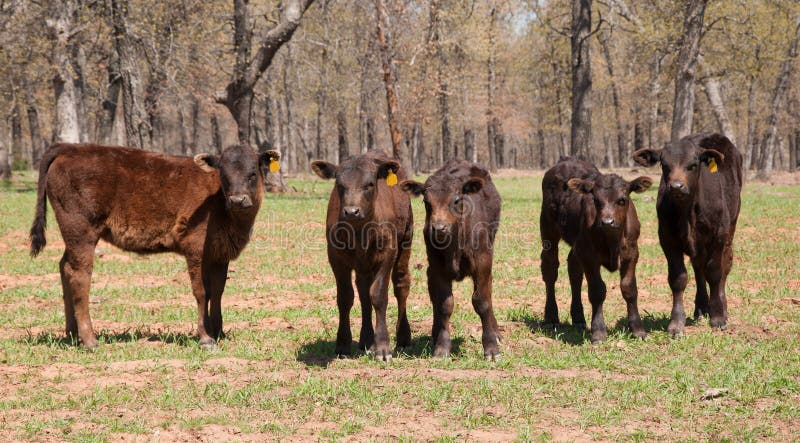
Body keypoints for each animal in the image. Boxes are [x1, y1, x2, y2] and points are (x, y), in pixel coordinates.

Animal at [29, 143, 280, 349]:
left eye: (252, 173)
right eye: (224, 175)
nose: (238, 200)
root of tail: (68, 148)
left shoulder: (219, 253)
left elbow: (217, 291)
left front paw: (219, 332)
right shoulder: (195, 250)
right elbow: (201, 291)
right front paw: (205, 338)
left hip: (73, 237)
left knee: (65, 267)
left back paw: (72, 335)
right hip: (82, 232)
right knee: (80, 276)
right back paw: (90, 340)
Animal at [311, 150, 413, 362]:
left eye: (370, 184)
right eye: (339, 184)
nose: (351, 211)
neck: (360, 233)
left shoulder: (387, 255)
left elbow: (379, 296)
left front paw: (383, 347)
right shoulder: (336, 257)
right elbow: (345, 297)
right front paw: (342, 343)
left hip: (406, 239)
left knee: (401, 285)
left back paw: (403, 337)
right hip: (363, 265)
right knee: (363, 291)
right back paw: (366, 340)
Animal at [400, 161, 502, 360]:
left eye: (456, 200)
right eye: (426, 201)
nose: (439, 228)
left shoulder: (483, 262)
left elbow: (482, 301)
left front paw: (491, 347)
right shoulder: (437, 267)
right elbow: (444, 304)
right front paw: (442, 347)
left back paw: (496, 332)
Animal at [540, 157, 653, 343]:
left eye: (622, 199)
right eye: (596, 200)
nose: (607, 221)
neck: (613, 240)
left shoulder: (631, 253)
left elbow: (629, 288)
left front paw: (637, 330)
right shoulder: (589, 255)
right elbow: (597, 290)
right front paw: (599, 331)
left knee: (574, 270)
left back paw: (578, 318)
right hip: (548, 230)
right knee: (550, 269)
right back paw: (551, 318)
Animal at [633, 133, 742, 336]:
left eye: (693, 164)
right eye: (664, 165)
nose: (676, 186)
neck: (688, 213)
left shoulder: (718, 237)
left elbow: (715, 272)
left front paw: (718, 317)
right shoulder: (668, 240)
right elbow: (678, 278)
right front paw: (676, 323)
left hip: (730, 230)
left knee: (725, 266)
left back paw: (721, 306)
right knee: (698, 268)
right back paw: (701, 308)